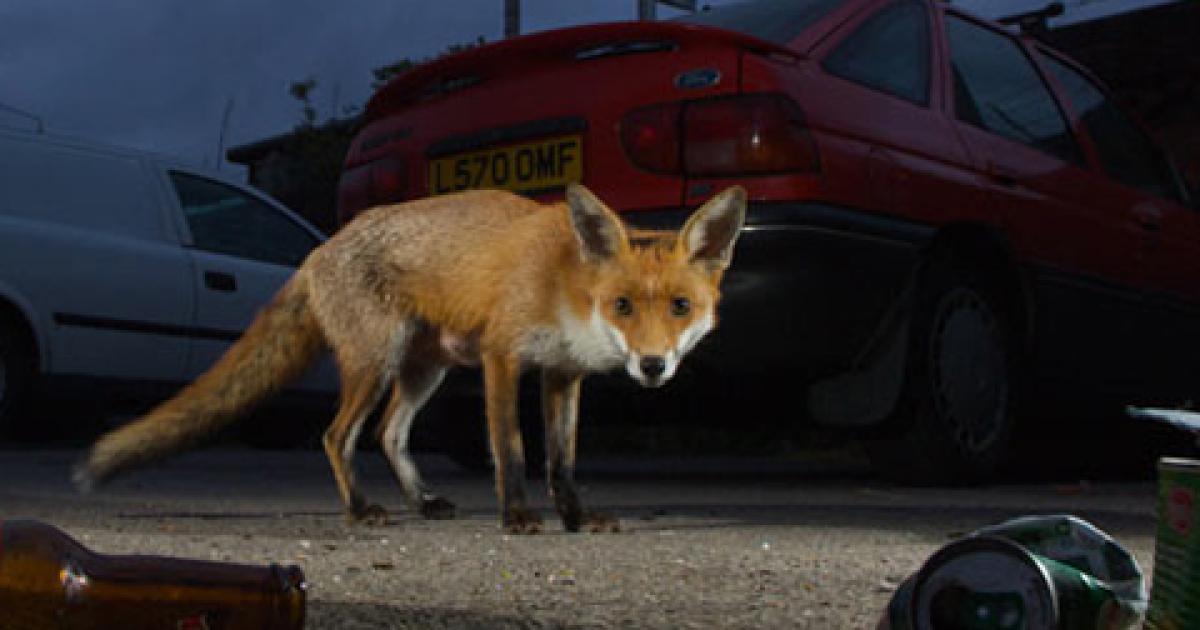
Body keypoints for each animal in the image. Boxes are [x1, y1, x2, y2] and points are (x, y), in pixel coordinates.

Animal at [73, 183, 746, 534]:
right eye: (624, 305)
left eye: (681, 306)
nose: (653, 366)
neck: (569, 289)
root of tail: (319, 249)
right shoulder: (504, 358)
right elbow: (512, 451)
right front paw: (517, 516)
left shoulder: (562, 374)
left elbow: (562, 461)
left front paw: (576, 518)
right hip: (377, 363)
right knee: (338, 435)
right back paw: (360, 509)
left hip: (426, 372)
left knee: (388, 435)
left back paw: (420, 502)